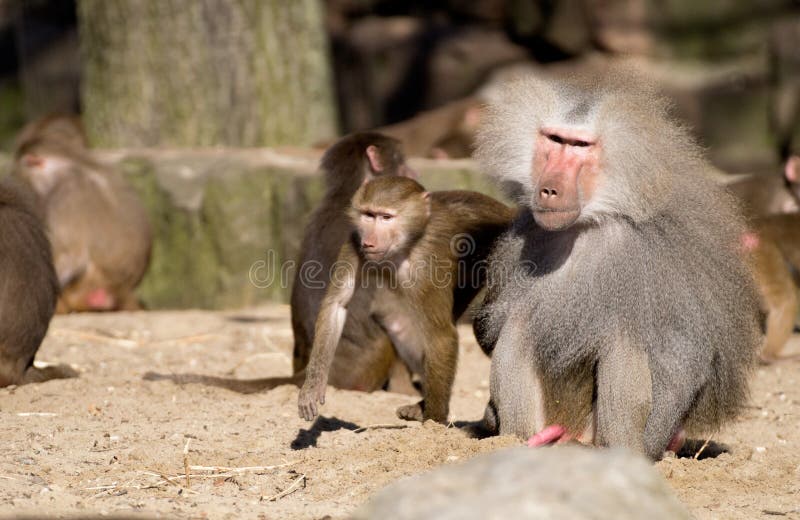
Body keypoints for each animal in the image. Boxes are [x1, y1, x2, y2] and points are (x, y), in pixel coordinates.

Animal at [298, 176, 514, 423]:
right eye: (369, 215)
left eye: (386, 217)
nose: (369, 242)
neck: (407, 242)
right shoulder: (355, 241)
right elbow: (337, 304)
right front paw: (313, 385)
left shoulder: (425, 264)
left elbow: (441, 336)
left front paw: (434, 422)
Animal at [471, 75, 761, 460]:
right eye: (554, 140)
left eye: (580, 146)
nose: (549, 190)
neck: (588, 224)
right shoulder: (523, 235)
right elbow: (492, 328)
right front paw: (490, 416)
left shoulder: (650, 253)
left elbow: (682, 352)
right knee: (520, 322)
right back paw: (519, 440)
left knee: (623, 333)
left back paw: (617, 449)